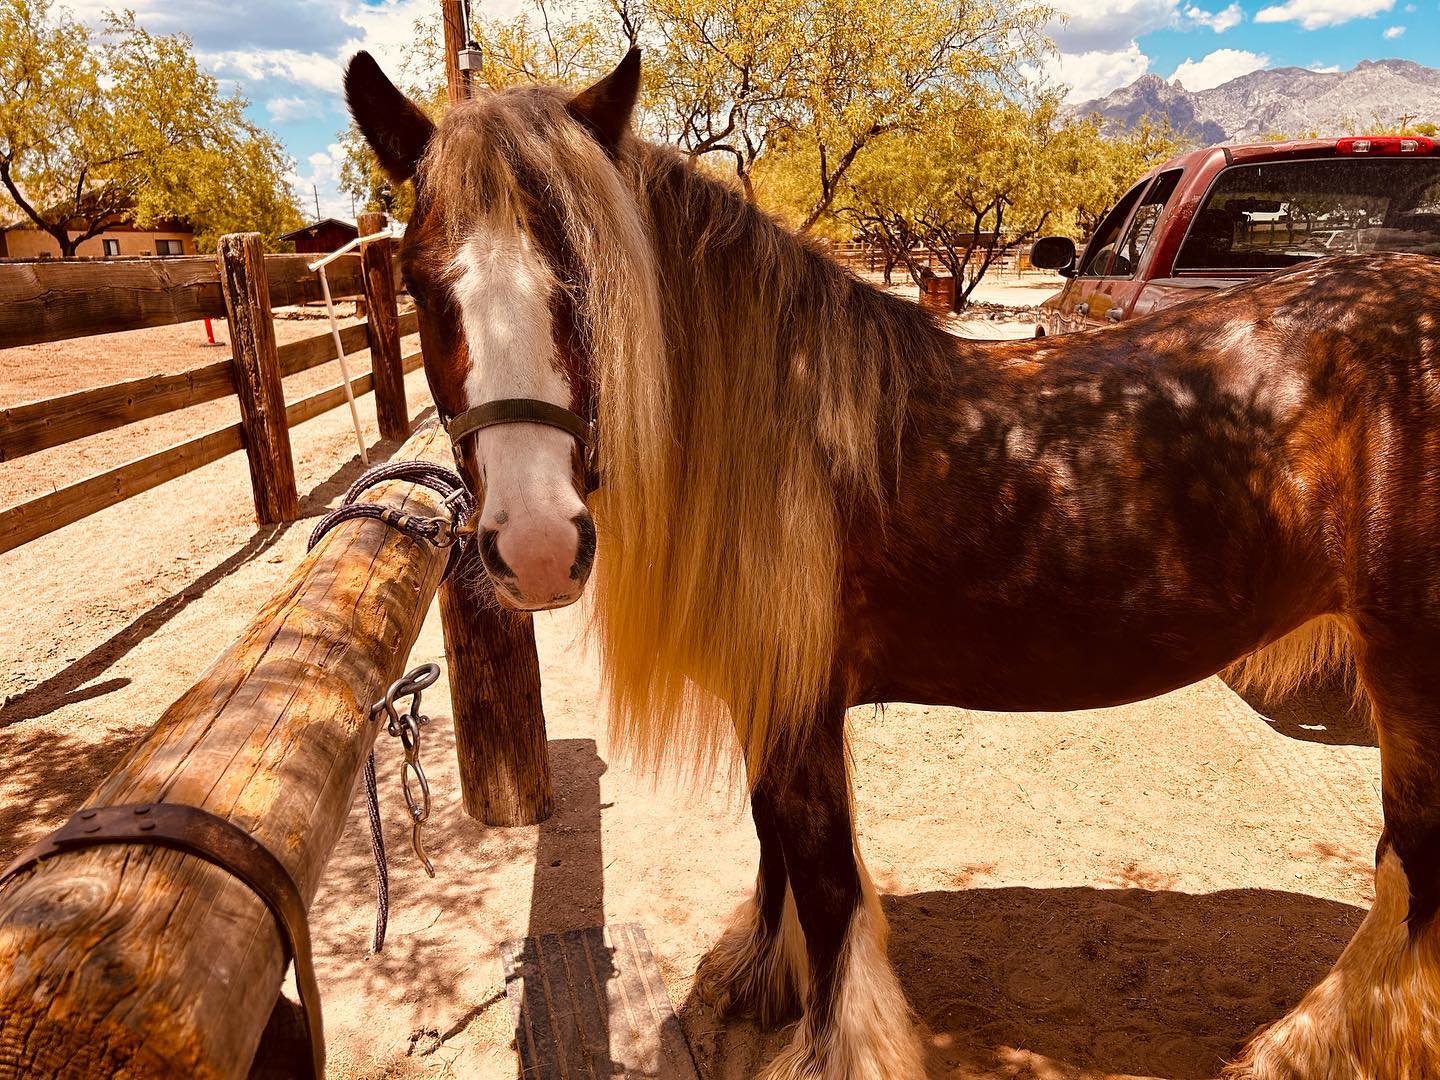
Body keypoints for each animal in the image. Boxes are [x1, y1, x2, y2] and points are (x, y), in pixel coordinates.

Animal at [345, 48, 1440, 1079]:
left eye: (586, 282)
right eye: (420, 285)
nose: (536, 545)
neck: (784, 431)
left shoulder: (802, 707)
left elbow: (826, 879)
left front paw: (837, 1045)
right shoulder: (769, 697)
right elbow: (773, 845)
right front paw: (762, 977)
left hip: (1410, 681)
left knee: (1414, 869)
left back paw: (1305, 1048)